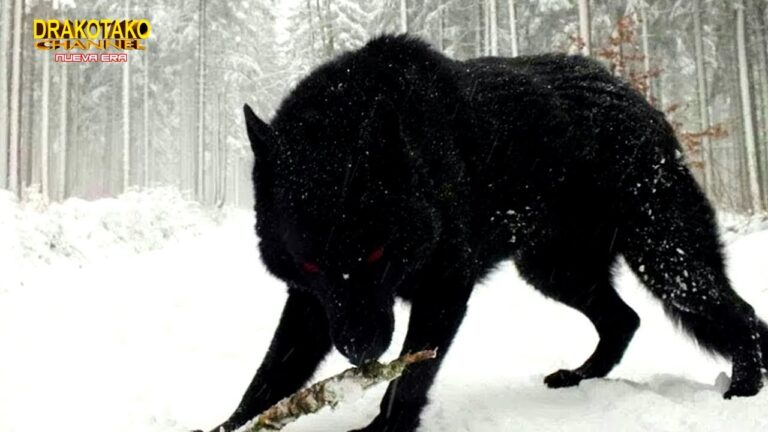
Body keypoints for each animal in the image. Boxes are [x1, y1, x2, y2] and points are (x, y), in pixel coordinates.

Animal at [206, 35, 767, 432]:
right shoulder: (314, 305)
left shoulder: (444, 290)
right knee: (624, 320)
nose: (361, 352)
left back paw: (743, 390)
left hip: (667, 262)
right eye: (312, 264)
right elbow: (267, 379)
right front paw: (231, 426)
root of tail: (637, 98)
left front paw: (382, 430)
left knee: (742, 315)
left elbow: (409, 378)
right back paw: (580, 377)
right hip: (554, 271)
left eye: (378, 253)